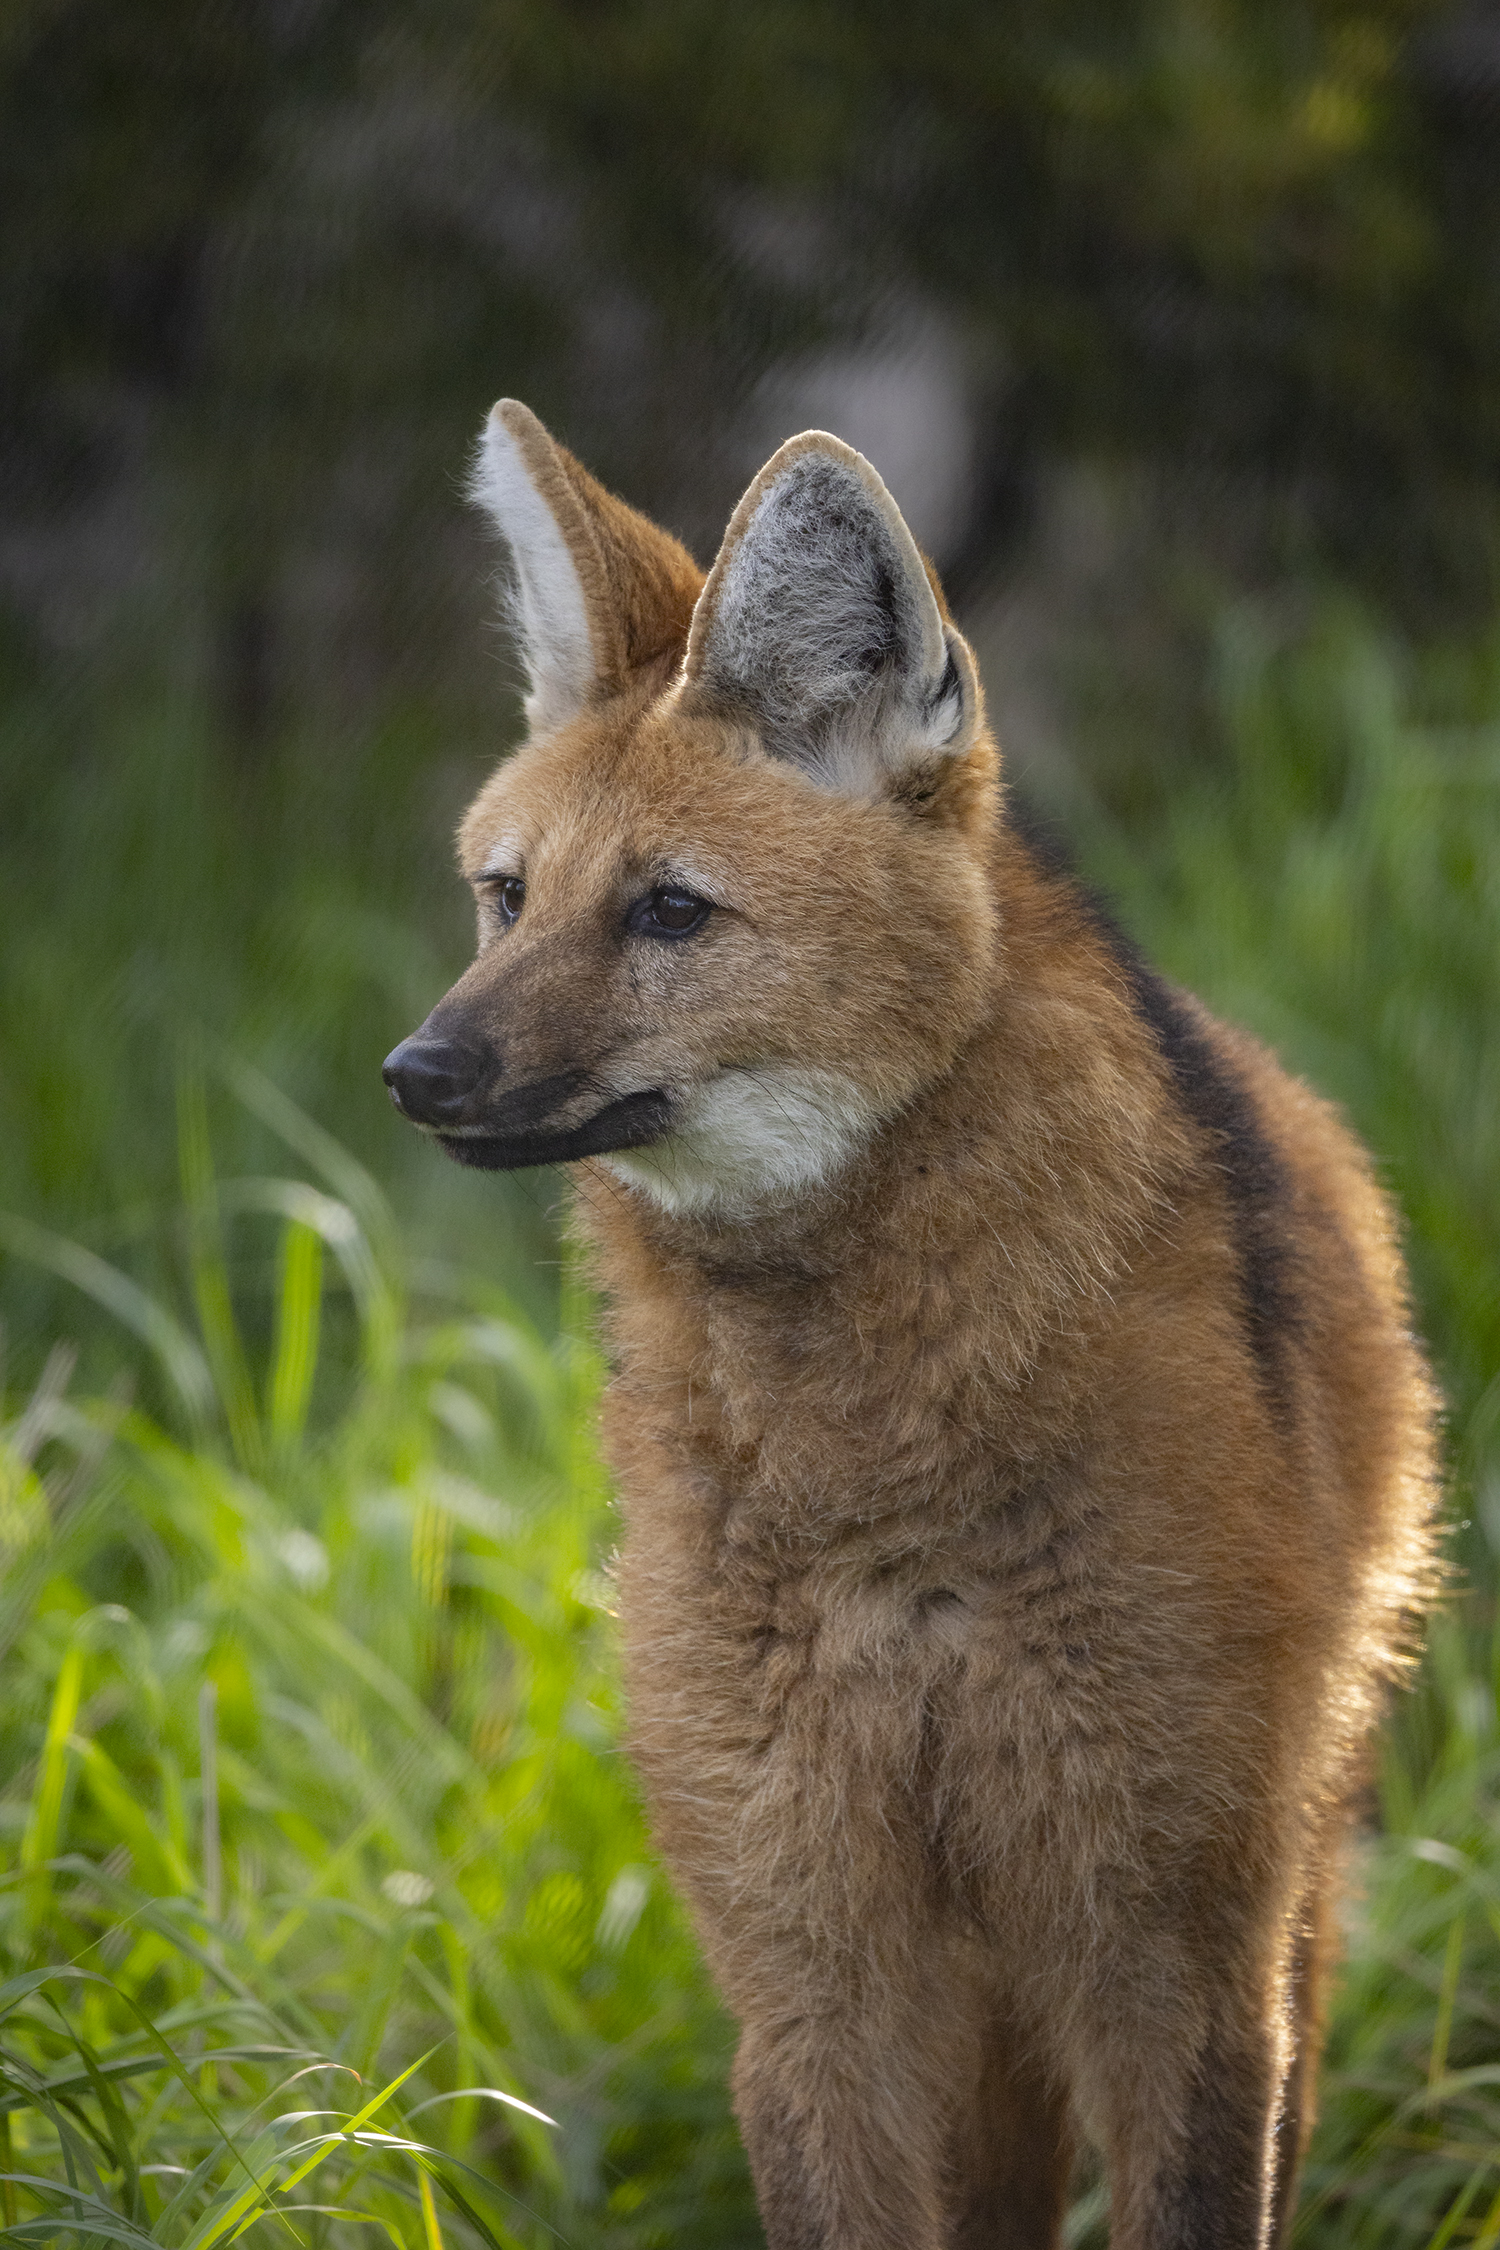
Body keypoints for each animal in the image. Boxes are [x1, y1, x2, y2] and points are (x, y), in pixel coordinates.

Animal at [383, 400, 1439, 2249]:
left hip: (1259, 1894)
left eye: (670, 911)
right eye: (506, 896)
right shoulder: (814, 1960)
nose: (416, 1071)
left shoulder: (1173, 1946)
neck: (877, 1475)